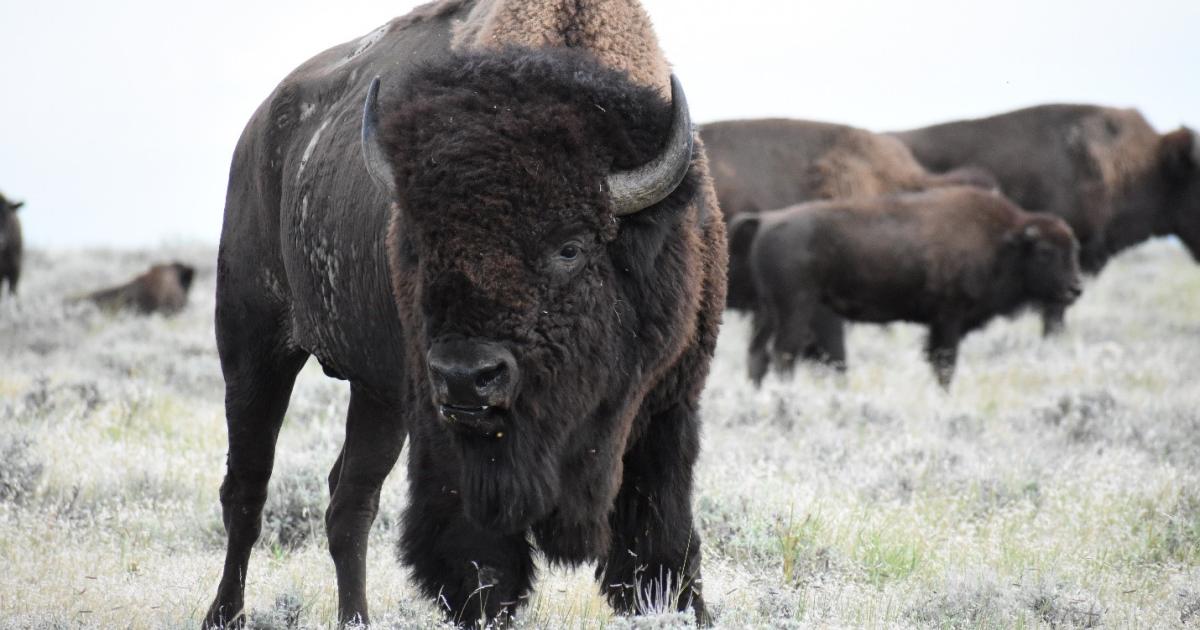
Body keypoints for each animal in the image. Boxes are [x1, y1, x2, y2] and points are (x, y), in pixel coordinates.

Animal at [205, 1, 725, 627]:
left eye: (570, 247)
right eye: (424, 244)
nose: (465, 376)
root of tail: (258, 133)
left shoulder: (667, 408)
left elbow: (662, 544)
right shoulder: (448, 439)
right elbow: (478, 564)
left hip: (378, 396)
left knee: (348, 501)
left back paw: (356, 617)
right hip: (254, 347)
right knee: (248, 490)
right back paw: (224, 613)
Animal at [735, 187, 1082, 387]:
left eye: (1074, 249)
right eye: (1045, 252)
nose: (1075, 289)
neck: (1002, 239)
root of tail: (766, 220)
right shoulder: (949, 318)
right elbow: (945, 363)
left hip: (768, 310)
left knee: (757, 354)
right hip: (796, 307)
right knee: (783, 353)